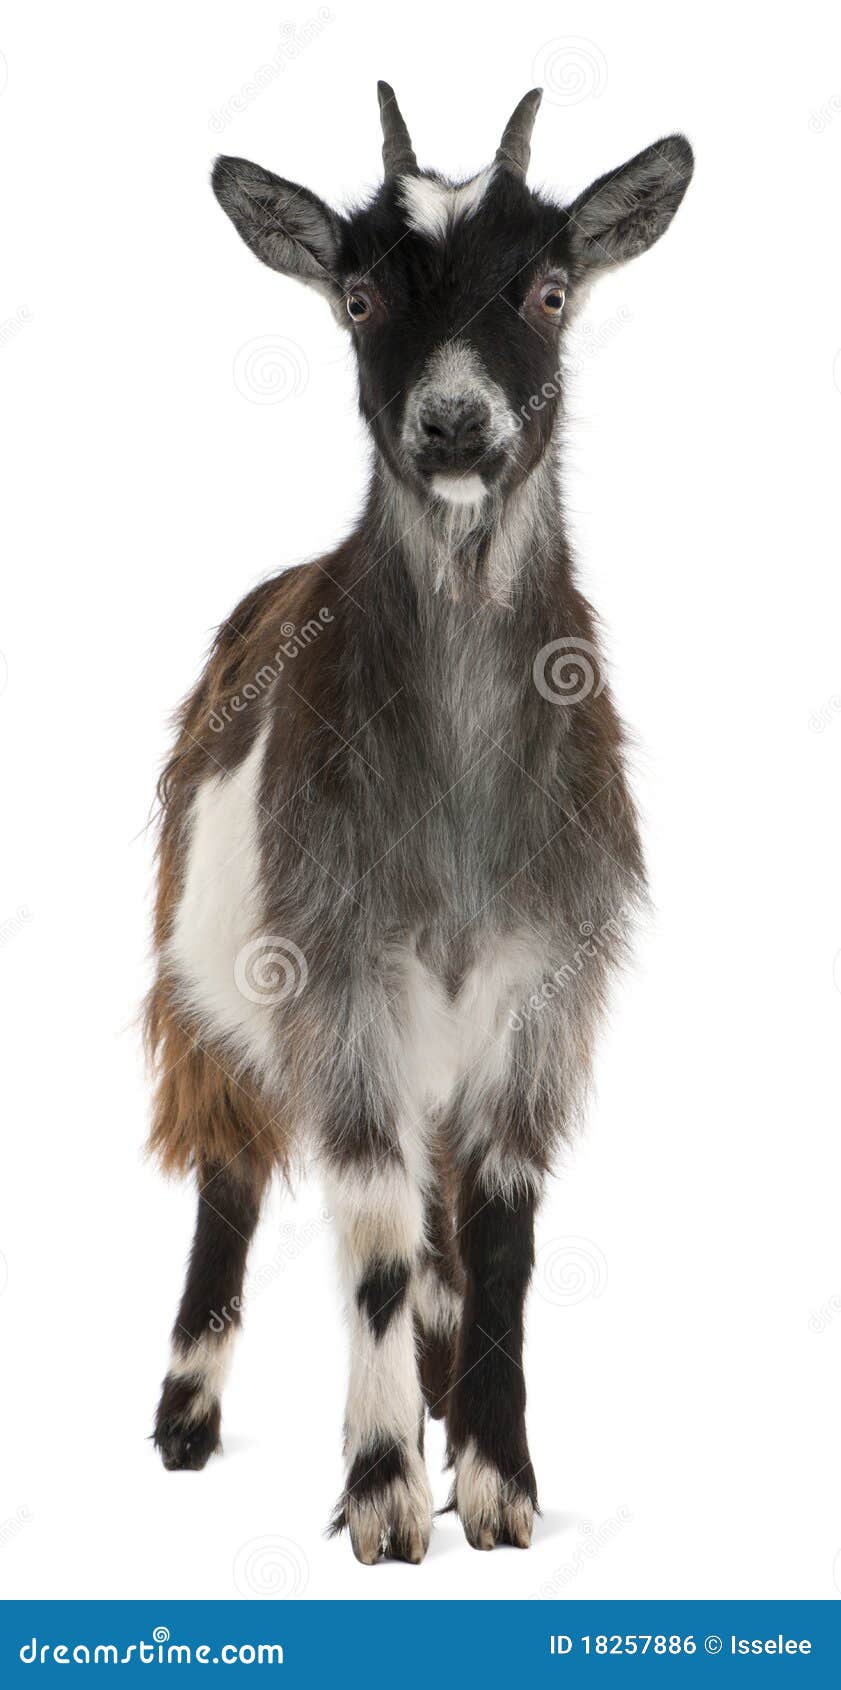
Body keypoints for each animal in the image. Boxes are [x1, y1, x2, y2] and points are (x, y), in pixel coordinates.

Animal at [147, 84, 693, 1563]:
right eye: (355, 299)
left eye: (550, 291)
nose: (452, 425)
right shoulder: (341, 981)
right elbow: (377, 1232)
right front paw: (386, 1495)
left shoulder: (539, 987)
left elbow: (497, 1234)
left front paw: (496, 1483)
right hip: (203, 992)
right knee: (230, 1175)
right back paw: (188, 1418)